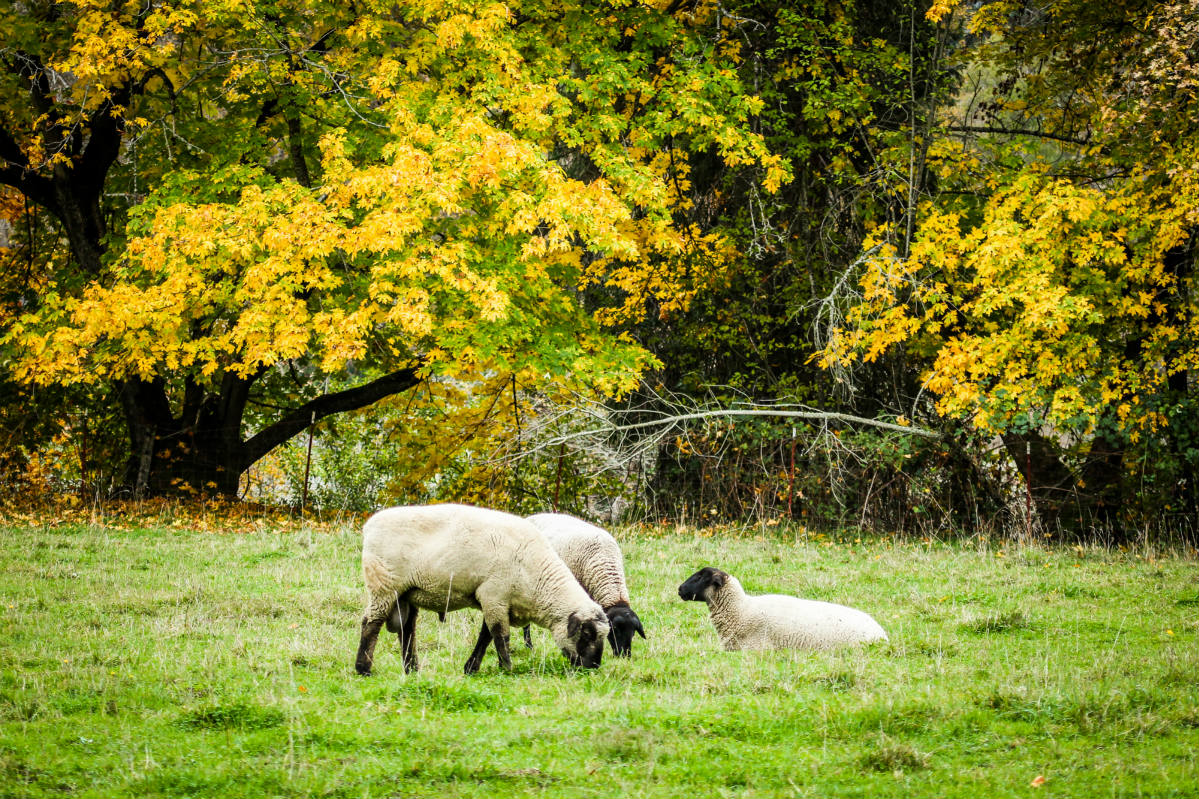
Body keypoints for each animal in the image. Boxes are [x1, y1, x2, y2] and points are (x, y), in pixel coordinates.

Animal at [355, 504, 610, 676]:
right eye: (587, 634)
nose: (593, 667)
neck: (537, 577)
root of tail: (370, 526)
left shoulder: (496, 601)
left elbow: (485, 635)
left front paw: (471, 667)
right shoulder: (494, 595)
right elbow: (500, 635)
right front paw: (506, 667)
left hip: (406, 594)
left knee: (407, 630)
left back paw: (412, 668)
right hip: (384, 586)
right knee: (371, 623)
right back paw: (363, 668)